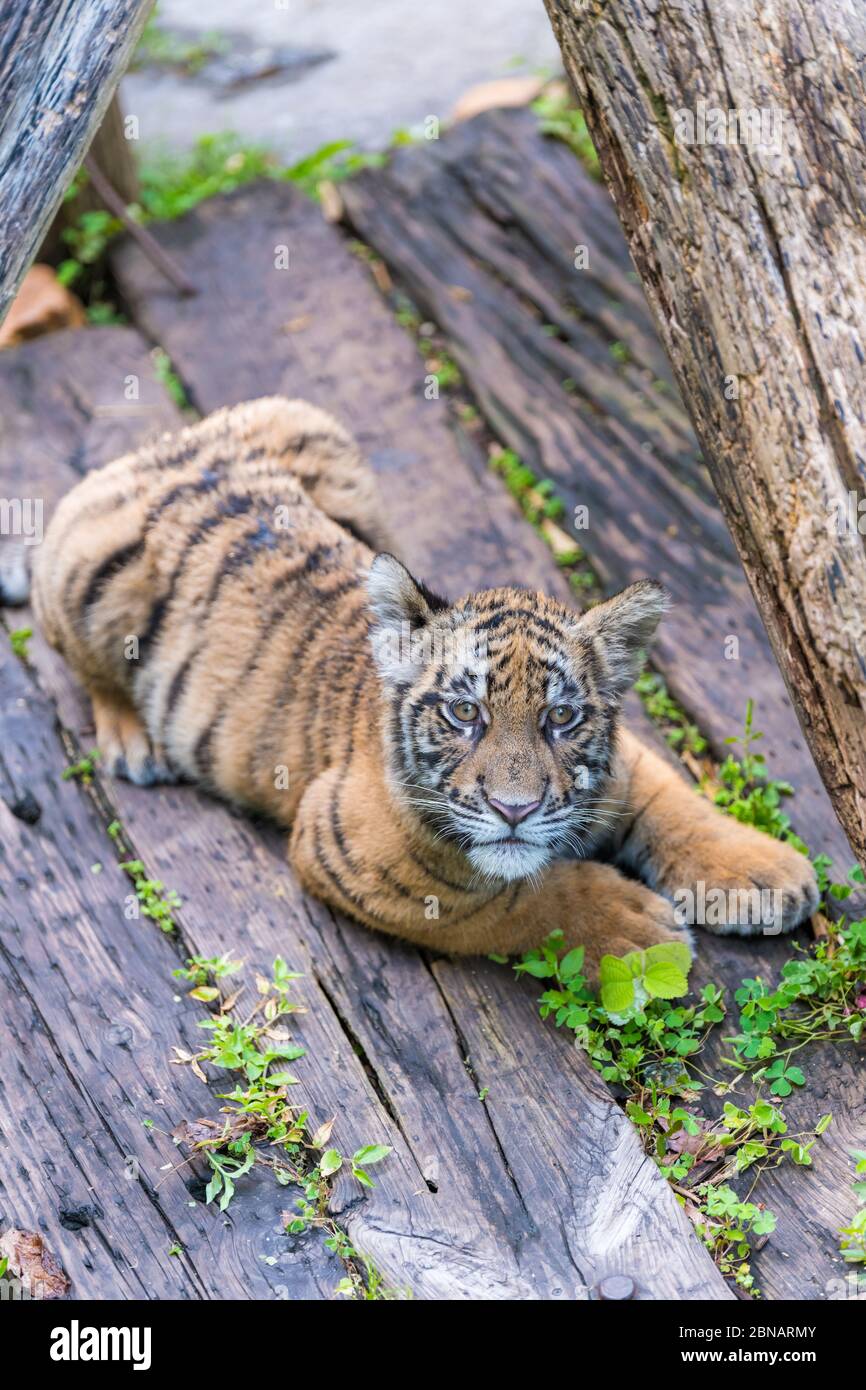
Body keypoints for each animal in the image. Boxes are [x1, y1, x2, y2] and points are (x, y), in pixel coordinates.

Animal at [25, 396, 818, 976]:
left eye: (562, 719)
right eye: (465, 713)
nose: (515, 810)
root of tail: (161, 450)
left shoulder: (623, 764)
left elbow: (670, 800)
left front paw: (763, 871)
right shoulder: (346, 849)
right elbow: (509, 899)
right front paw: (635, 929)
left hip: (318, 432)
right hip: (82, 562)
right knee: (77, 656)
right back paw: (133, 742)